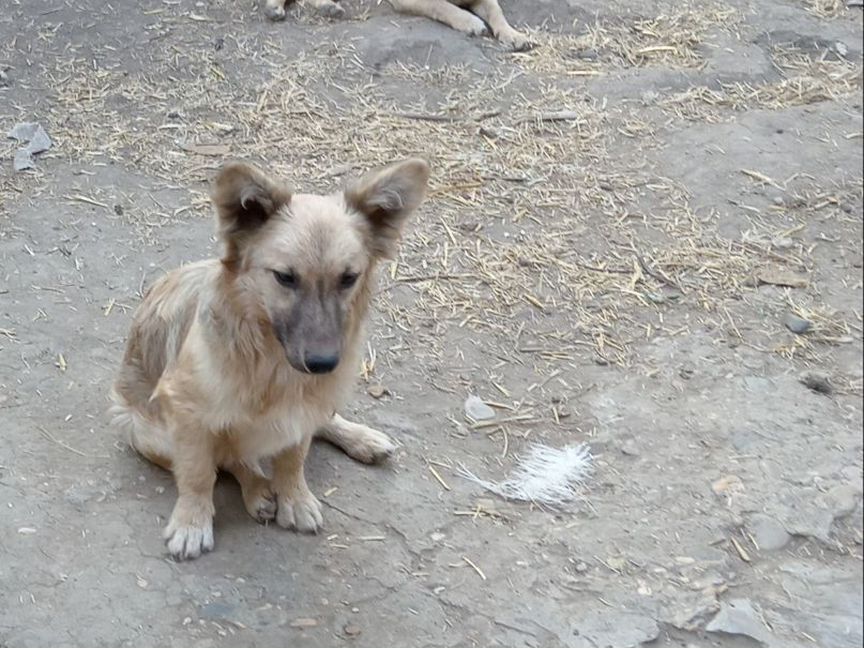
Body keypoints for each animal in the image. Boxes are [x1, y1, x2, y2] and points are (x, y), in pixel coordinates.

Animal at [109, 159, 430, 560]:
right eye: (285, 277)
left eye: (348, 278)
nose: (323, 363)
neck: (271, 364)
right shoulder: (185, 413)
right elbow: (199, 473)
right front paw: (191, 523)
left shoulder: (304, 404)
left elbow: (293, 458)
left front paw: (294, 498)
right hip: (142, 429)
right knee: (230, 457)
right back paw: (258, 489)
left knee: (320, 422)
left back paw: (360, 439)